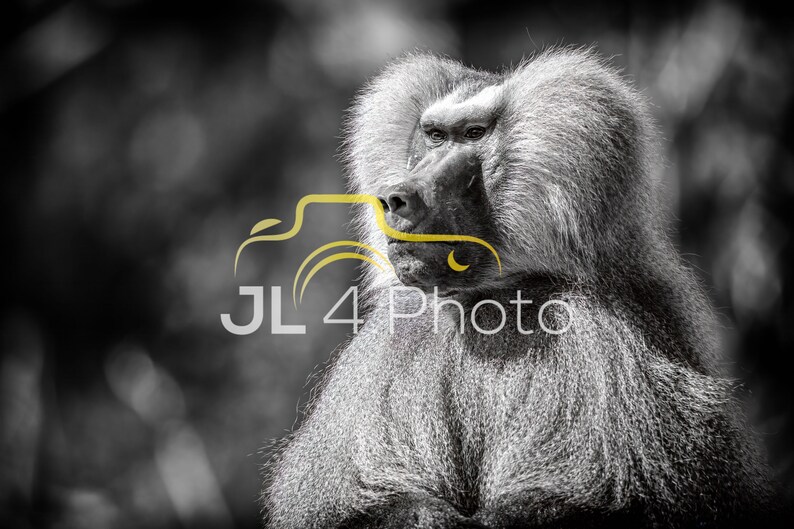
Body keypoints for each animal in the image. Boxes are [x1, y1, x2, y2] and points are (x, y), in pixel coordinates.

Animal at [261, 47, 780, 528]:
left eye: (474, 135)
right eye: (434, 135)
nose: (395, 198)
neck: (493, 300)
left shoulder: (602, 341)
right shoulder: (400, 338)